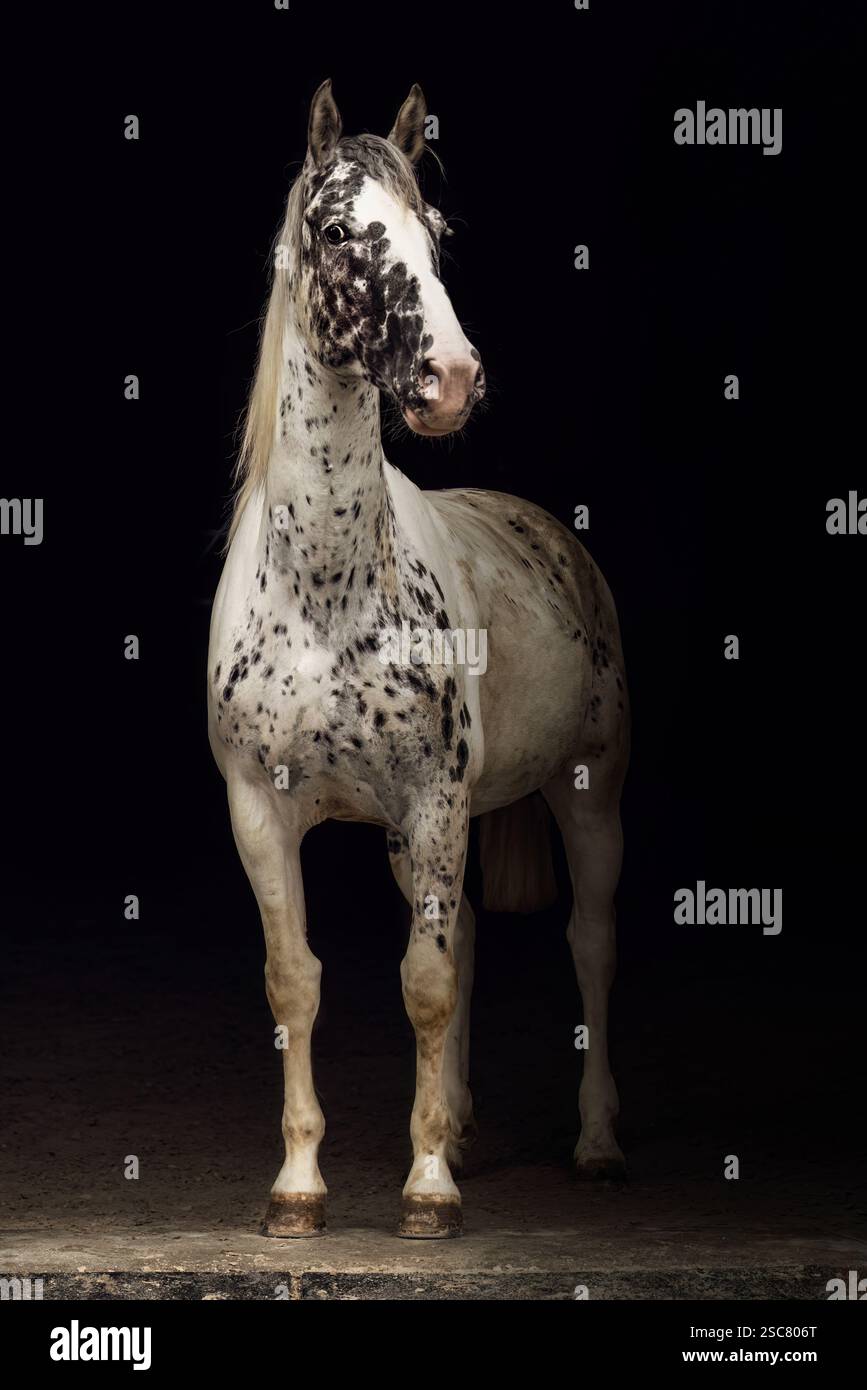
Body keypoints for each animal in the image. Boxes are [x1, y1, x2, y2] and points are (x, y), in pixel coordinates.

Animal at [208, 80, 630, 1239]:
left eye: (433, 233)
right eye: (340, 231)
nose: (451, 378)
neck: (325, 593)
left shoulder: (436, 799)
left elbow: (425, 985)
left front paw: (428, 1187)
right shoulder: (261, 808)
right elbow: (296, 982)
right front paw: (299, 1186)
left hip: (587, 793)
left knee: (587, 943)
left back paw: (595, 1142)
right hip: (415, 835)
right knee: (472, 935)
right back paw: (461, 1120)